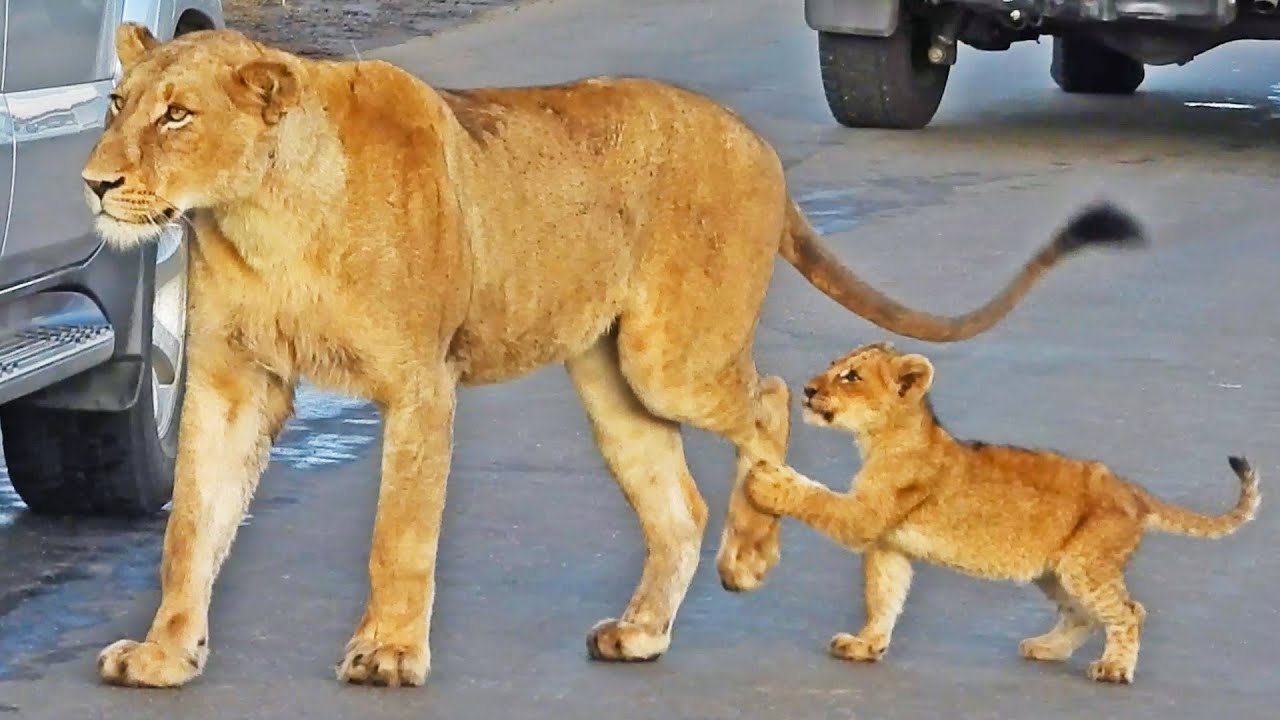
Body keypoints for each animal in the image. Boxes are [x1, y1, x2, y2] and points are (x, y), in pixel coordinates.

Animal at [83, 23, 1145, 688]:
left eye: (176, 116)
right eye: (115, 104)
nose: (94, 182)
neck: (261, 213)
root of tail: (756, 143)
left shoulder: (420, 382)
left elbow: (400, 535)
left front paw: (386, 656)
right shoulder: (231, 384)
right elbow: (193, 529)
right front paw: (164, 657)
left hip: (670, 356)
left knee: (768, 395)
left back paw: (752, 552)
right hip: (612, 378)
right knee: (678, 506)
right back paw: (641, 632)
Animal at [743, 343, 1260, 684]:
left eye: (851, 376)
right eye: (833, 366)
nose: (807, 389)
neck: (882, 438)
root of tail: (1134, 491)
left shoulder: (864, 519)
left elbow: (818, 498)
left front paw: (771, 481)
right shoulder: (889, 545)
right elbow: (883, 598)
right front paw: (866, 644)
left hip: (1085, 563)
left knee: (1129, 611)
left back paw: (1114, 668)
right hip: (1055, 569)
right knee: (1085, 614)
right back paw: (1046, 648)